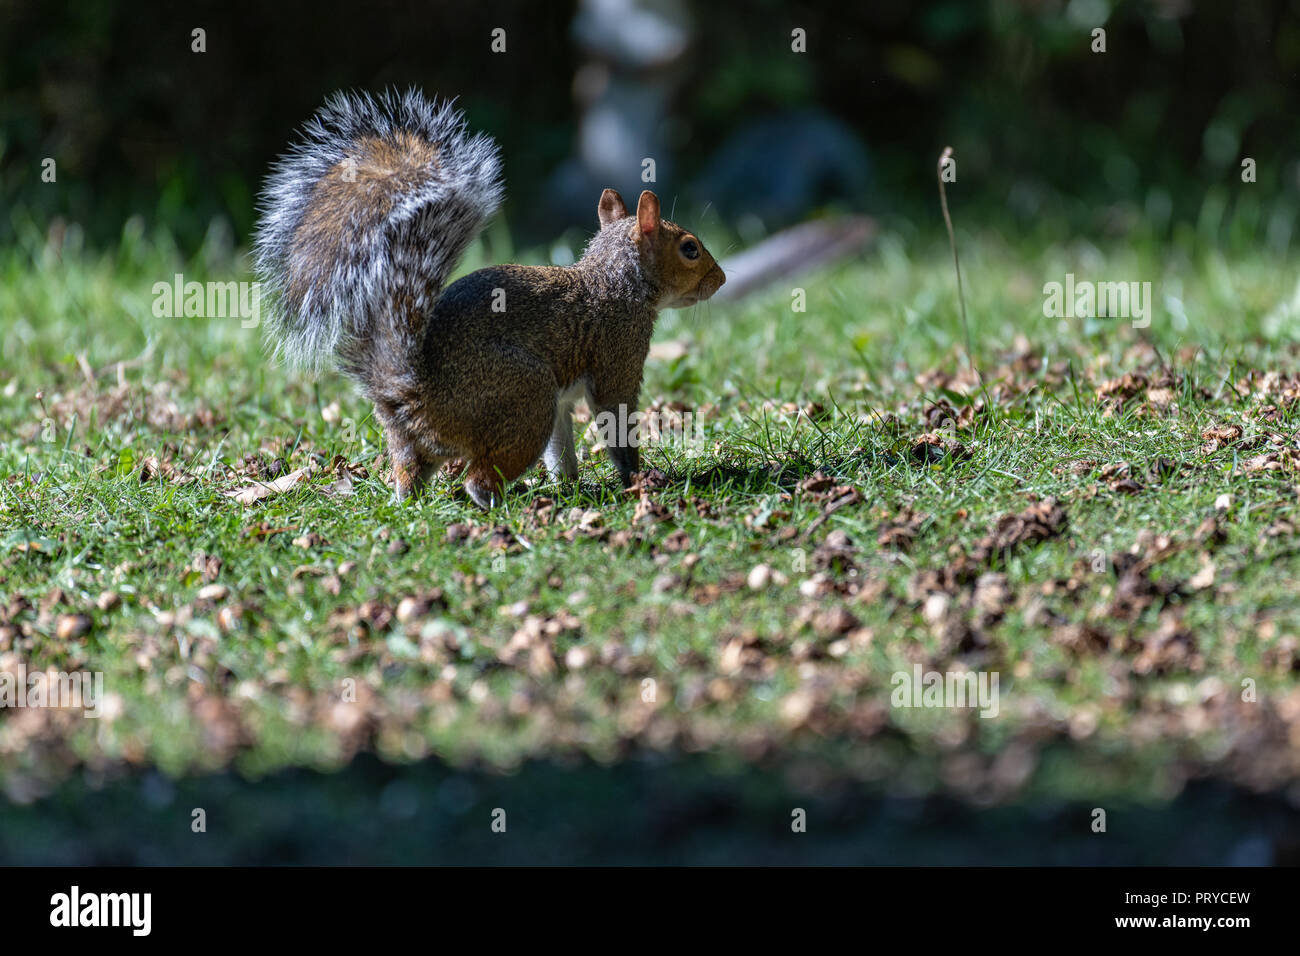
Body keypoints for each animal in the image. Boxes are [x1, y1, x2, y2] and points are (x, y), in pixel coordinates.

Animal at [254, 89, 725, 508]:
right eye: (690, 248)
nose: (720, 279)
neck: (615, 279)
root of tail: (412, 391)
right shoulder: (618, 355)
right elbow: (617, 420)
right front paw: (636, 478)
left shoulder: (563, 403)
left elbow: (561, 447)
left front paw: (571, 482)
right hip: (524, 392)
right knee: (479, 479)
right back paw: (501, 501)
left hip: (434, 435)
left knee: (411, 475)